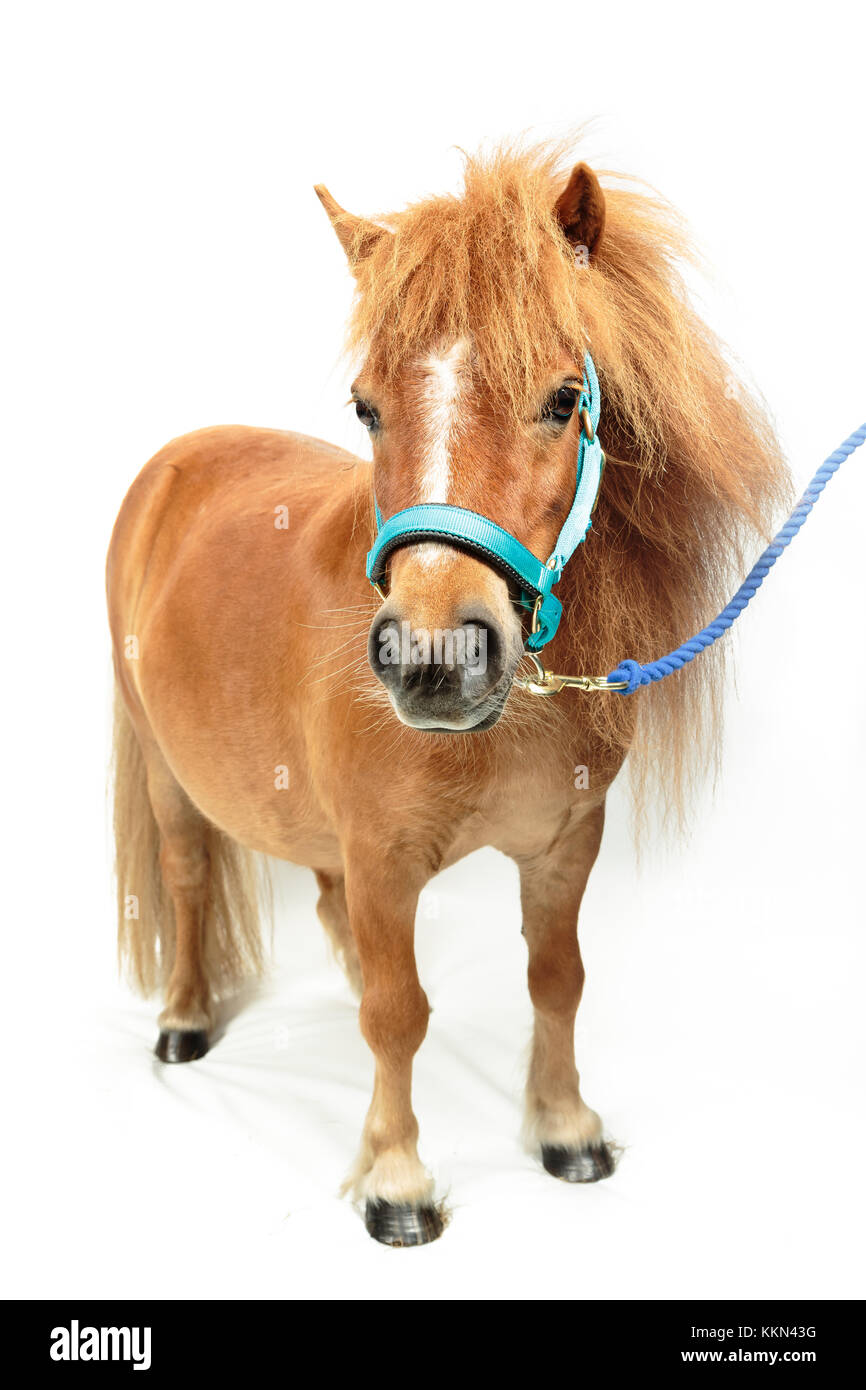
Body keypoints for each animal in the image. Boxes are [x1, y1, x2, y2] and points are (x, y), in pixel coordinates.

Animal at [106, 141, 790, 1247]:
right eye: (366, 407)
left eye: (563, 398)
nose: (433, 657)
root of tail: (178, 459)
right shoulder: (383, 859)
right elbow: (399, 1012)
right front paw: (396, 1179)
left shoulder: (563, 842)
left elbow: (555, 979)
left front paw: (565, 1129)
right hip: (165, 771)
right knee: (187, 877)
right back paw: (183, 1020)